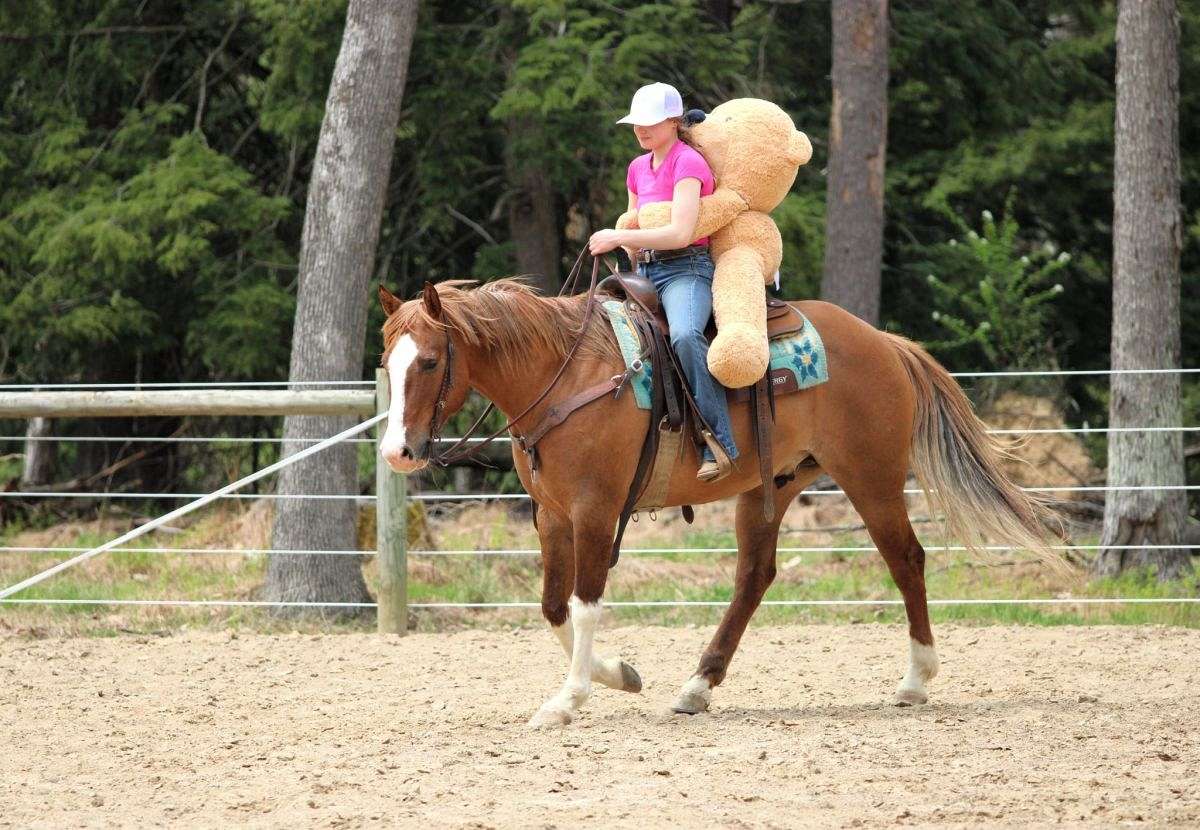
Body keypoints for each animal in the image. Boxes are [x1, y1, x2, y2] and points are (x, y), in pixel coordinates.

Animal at [376, 275, 1061, 728]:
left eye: (430, 361)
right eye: (387, 359)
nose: (399, 451)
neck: (564, 377)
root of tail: (882, 341)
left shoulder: (596, 511)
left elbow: (584, 604)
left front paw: (568, 700)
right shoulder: (552, 516)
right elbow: (552, 608)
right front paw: (618, 674)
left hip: (871, 478)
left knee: (907, 561)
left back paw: (916, 680)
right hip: (769, 487)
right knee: (754, 577)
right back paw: (698, 686)